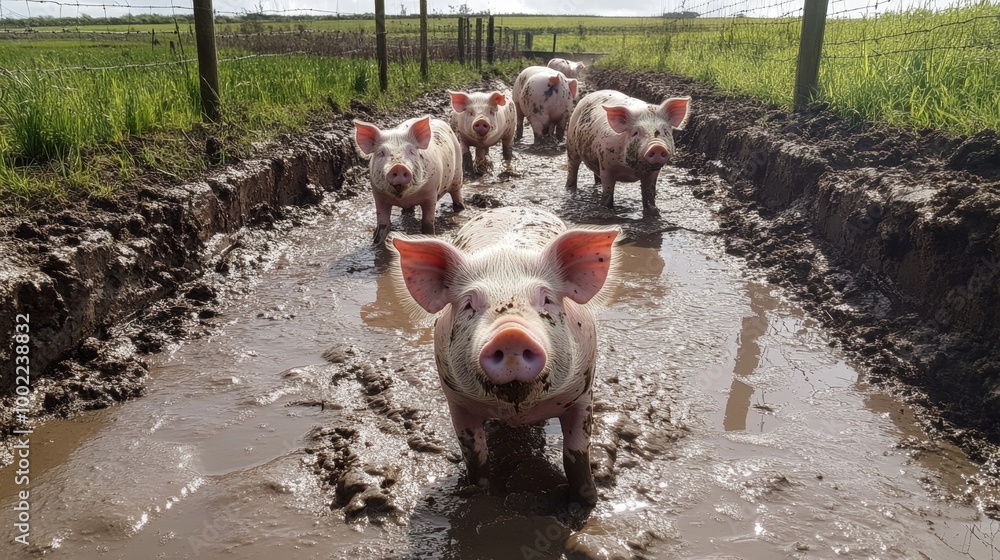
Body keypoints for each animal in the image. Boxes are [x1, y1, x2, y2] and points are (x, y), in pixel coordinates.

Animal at [354, 116, 464, 245]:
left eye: (411, 151)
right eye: (381, 153)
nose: (398, 166)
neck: (404, 198)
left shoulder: (431, 193)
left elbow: (427, 223)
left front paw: (429, 236)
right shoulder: (378, 195)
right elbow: (382, 225)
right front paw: (376, 244)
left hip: (458, 174)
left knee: (457, 194)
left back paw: (459, 209)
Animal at [390, 206, 619, 507]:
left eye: (547, 300)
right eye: (469, 305)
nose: (511, 334)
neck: (517, 410)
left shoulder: (583, 393)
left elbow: (577, 454)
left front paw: (586, 503)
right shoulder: (456, 401)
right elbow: (475, 454)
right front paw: (477, 492)